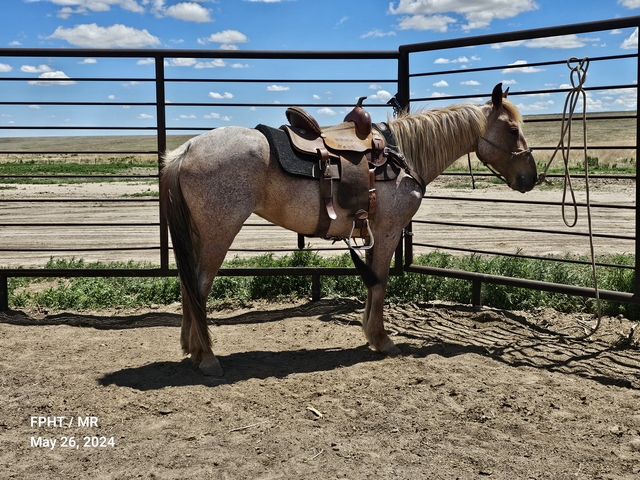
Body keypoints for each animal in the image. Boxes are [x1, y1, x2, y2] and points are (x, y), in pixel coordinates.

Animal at [161, 83, 537, 376]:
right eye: (512, 130)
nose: (531, 177)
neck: (404, 155)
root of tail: (187, 149)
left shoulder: (371, 233)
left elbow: (372, 282)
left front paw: (370, 334)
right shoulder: (388, 232)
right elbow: (380, 282)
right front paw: (382, 340)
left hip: (198, 235)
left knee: (188, 284)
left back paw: (191, 349)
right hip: (218, 233)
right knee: (199, 286)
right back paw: (207, 357)